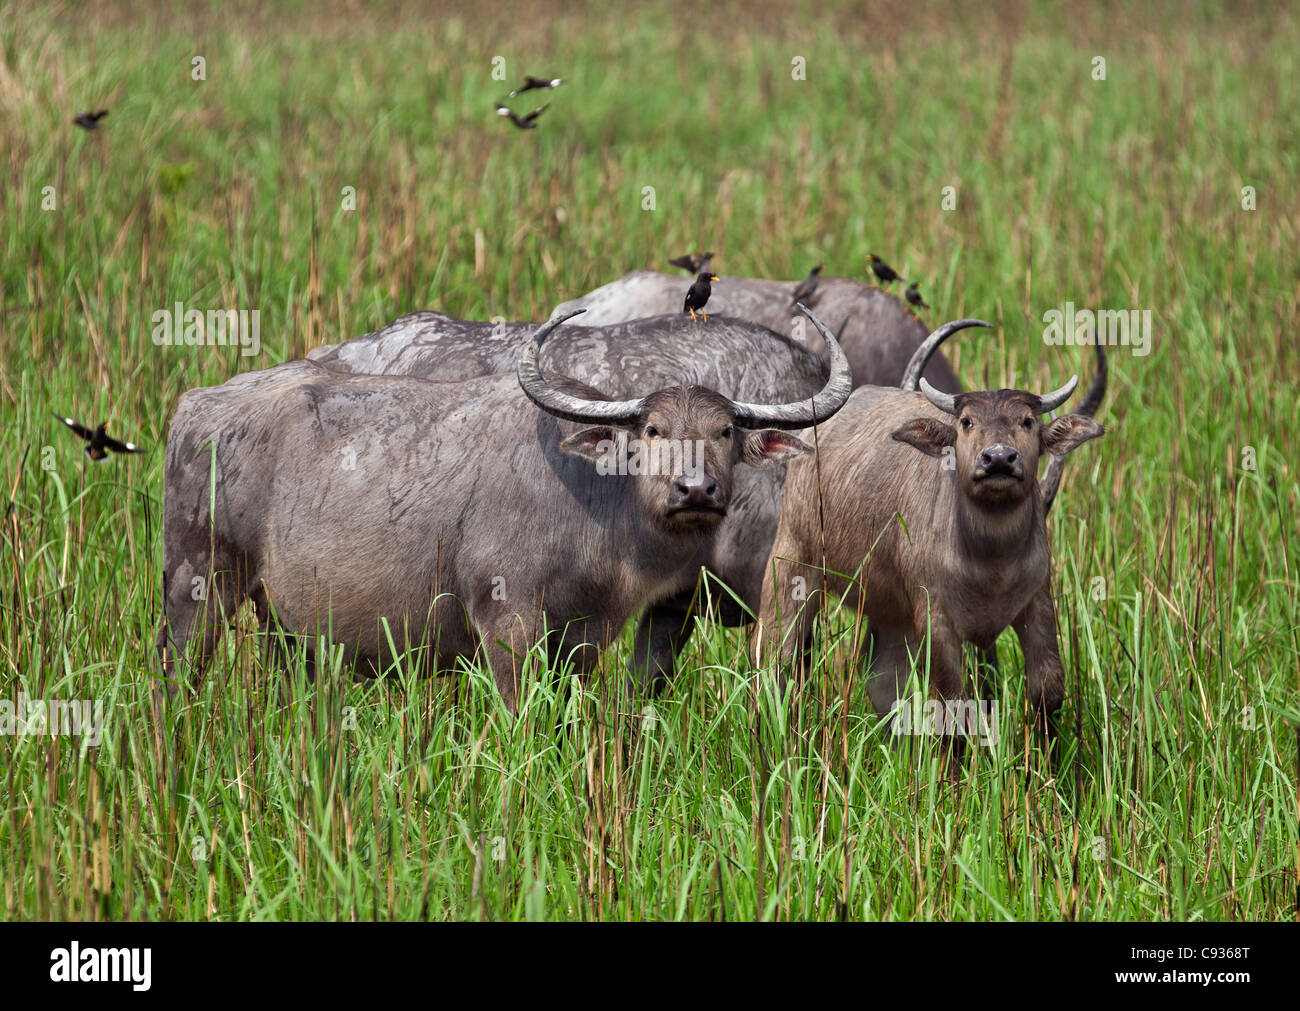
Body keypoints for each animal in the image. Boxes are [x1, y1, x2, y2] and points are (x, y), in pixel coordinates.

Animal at [154, 302, 852, 706]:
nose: (696, 490)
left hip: (286, 621)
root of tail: (199, 406)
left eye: (726, 432)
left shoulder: (602, 633)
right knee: (174, 674)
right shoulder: (507, 622)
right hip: (197, 585)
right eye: (652, 431)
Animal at [759, 366, 1102, 727]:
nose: (997, 459)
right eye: (966, 421)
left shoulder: (1038, 602)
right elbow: (952, 704)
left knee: (883, 680)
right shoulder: (936, 620)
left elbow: (1048, 689)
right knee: (777, 661)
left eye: (1027, 421)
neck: (993, 562)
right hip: (792, 564)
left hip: (889, 610)